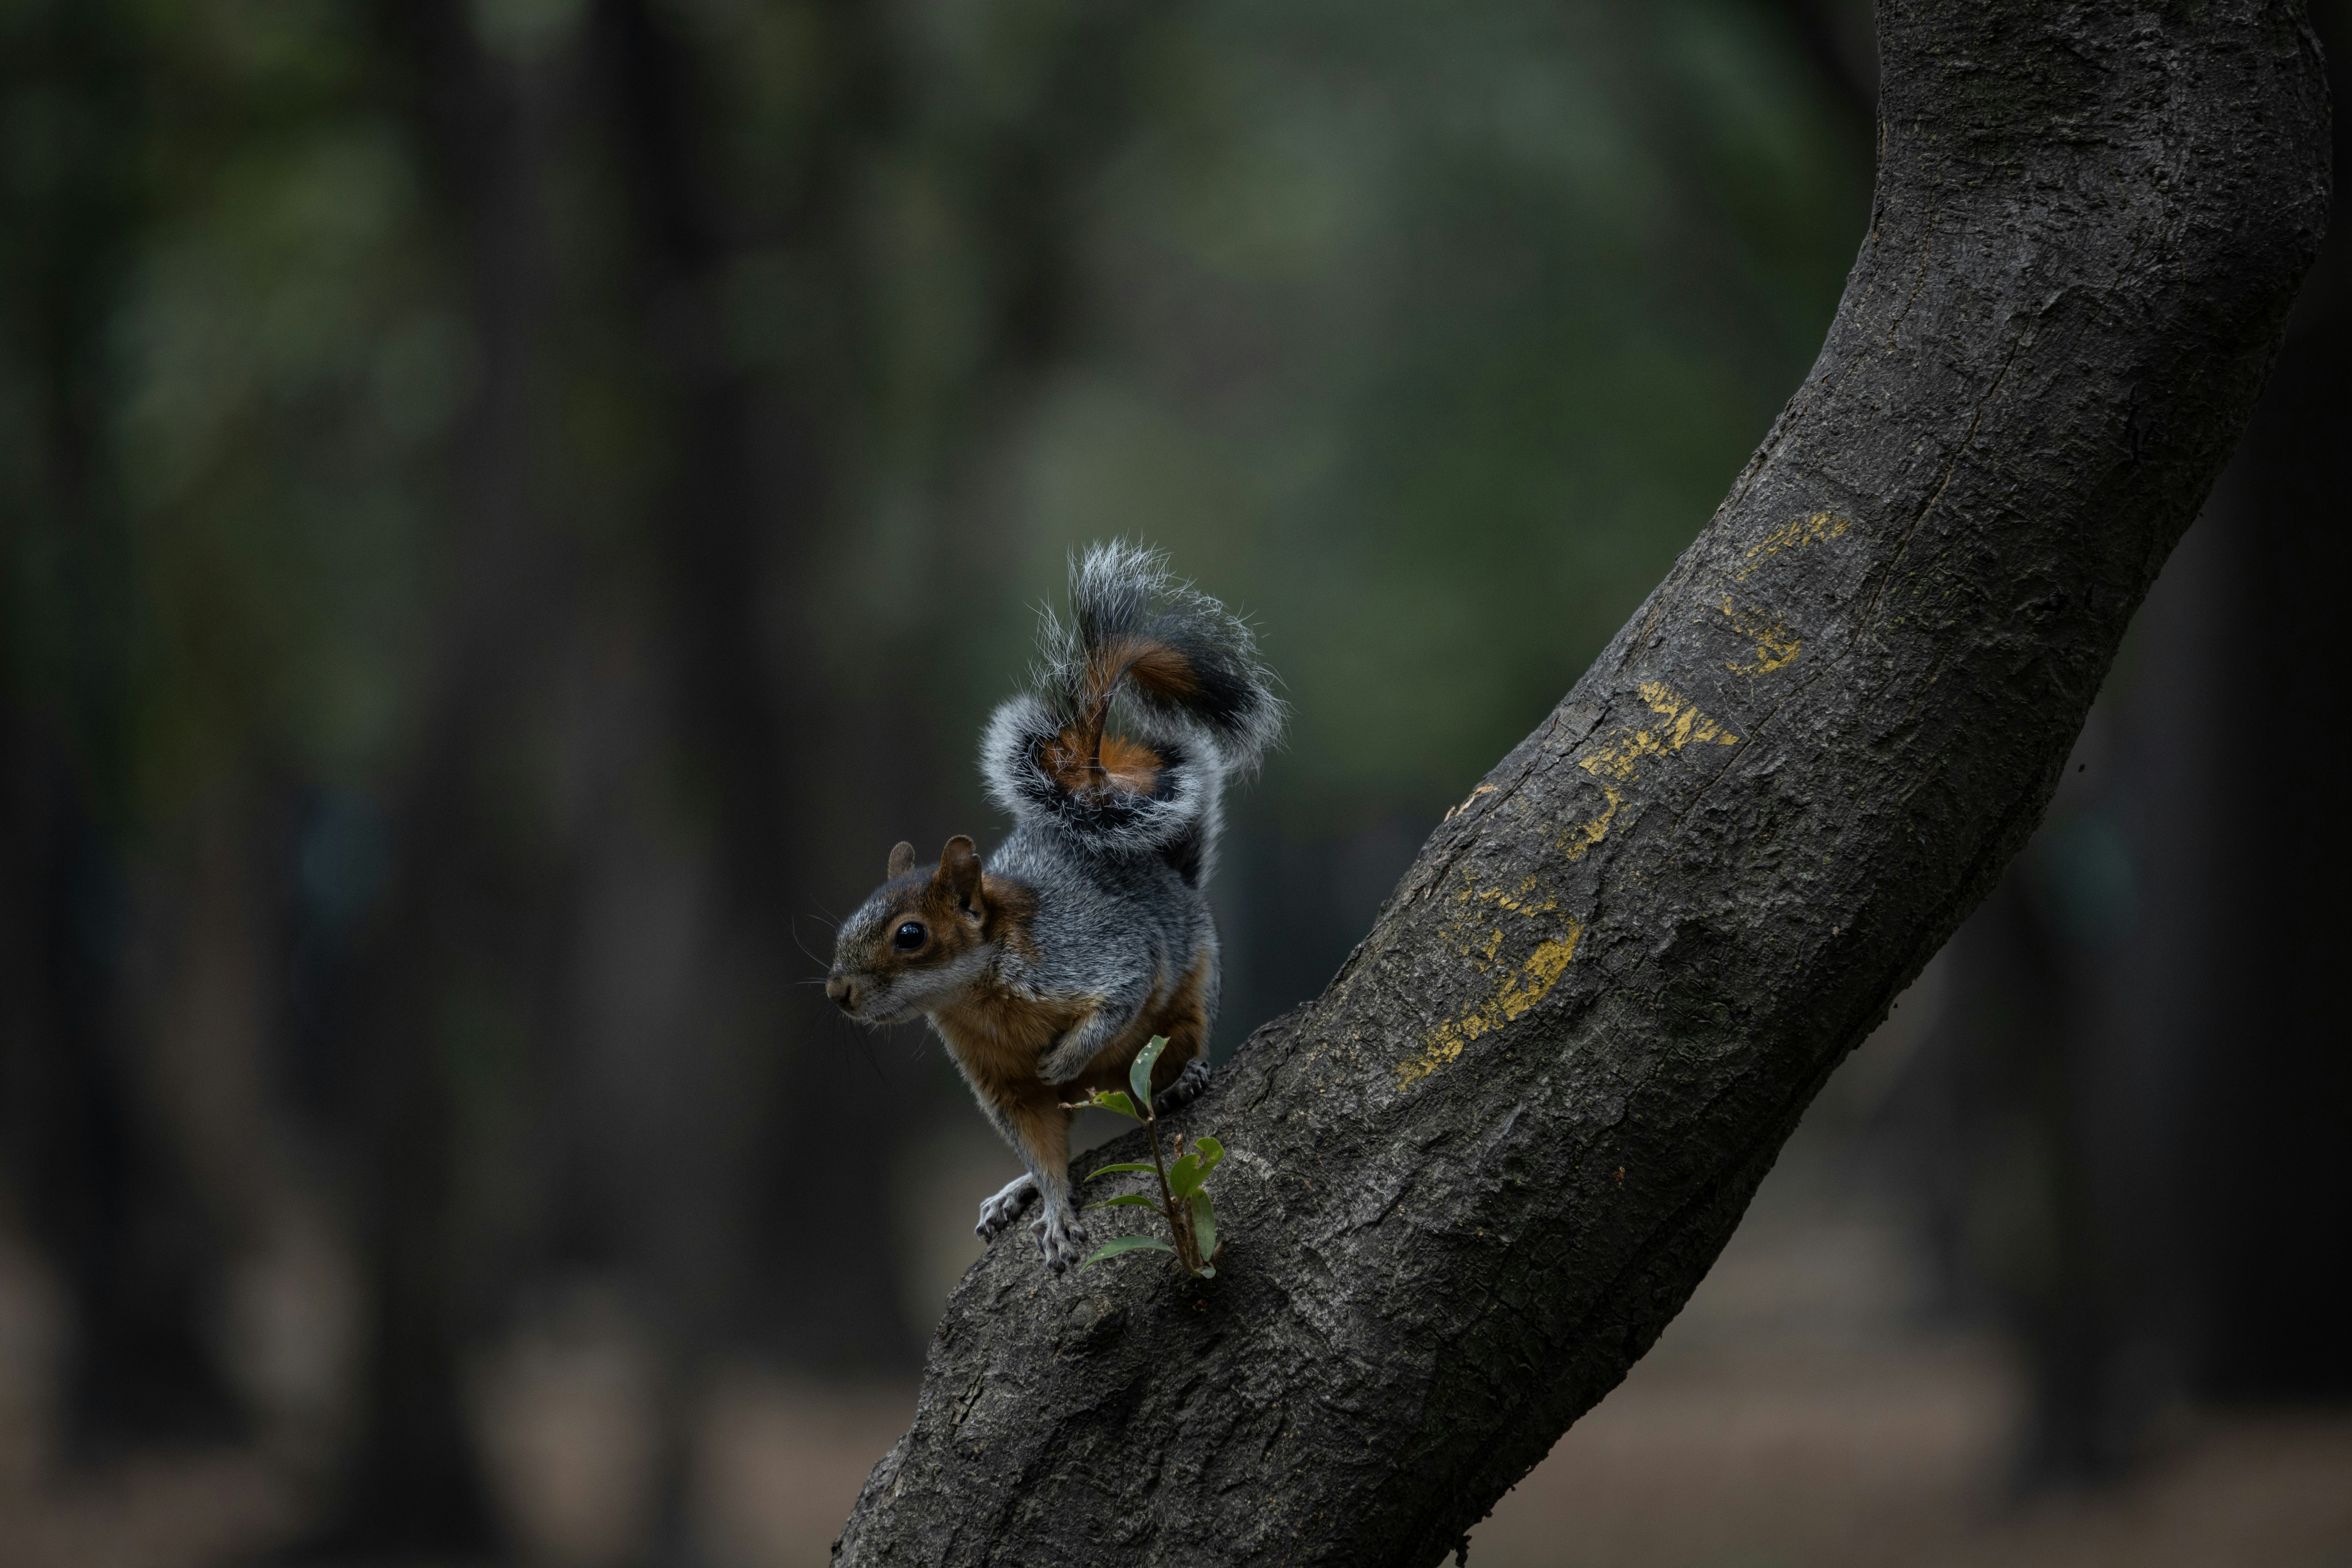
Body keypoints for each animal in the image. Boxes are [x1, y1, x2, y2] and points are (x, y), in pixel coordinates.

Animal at [824, 542, 1283, 1271]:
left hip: (1192, 990)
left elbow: (1118, 1000)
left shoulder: (1093, 956)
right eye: (851, 919)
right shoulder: (1002, 1085)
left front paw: (1064, 1059)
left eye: (911, 935)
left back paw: (1184, 1079)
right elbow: (1041, 1147)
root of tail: (1166, 873)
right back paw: (1013, 1193)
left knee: (1183, 1042)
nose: (838, 993)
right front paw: (1053, 1209)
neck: (975, 998)